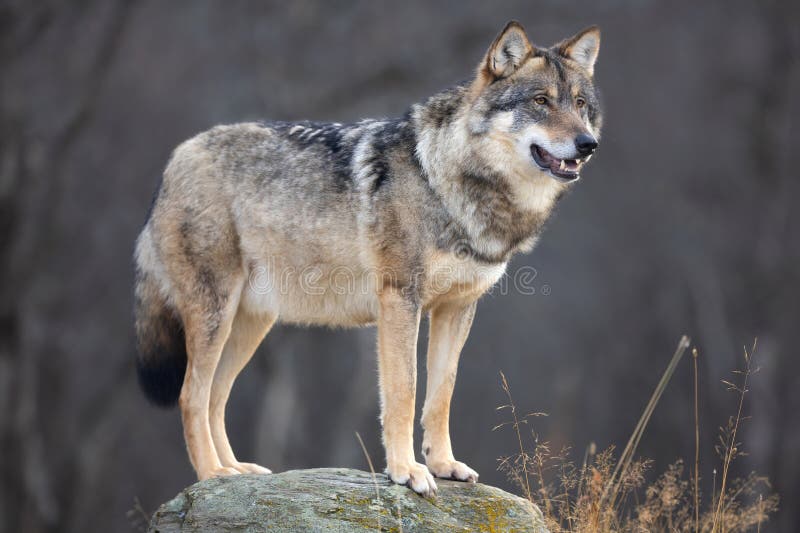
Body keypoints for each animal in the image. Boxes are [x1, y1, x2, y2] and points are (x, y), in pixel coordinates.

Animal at [134, 21, 602, 496]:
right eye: (541, 101)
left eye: (580, 104)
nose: (588, 144)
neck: (448, 180)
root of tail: (178, 156)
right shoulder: (400, 301)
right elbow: (404, 392)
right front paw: (407, 471)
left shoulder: (457, 308)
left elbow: (441, 394)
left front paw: (443, 465)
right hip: (217, 315)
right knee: (191, 396)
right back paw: (211, 475)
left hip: (251, 325)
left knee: (215, 397)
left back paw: (234, 472)